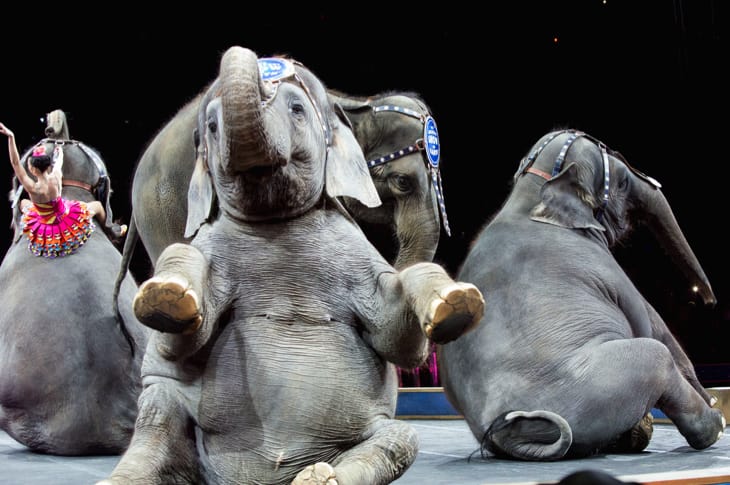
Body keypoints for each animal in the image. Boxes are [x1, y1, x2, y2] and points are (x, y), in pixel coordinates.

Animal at [99, 46, 484, 484]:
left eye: (298, 109)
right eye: (403, 182)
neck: (355, 102)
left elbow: (391, 337)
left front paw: (454, 304)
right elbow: (187, 328)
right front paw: (166, 297)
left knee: (400, 438)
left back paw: (319, 476)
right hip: (158, 209)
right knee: (160, 416)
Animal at [437, 129, 725, 461]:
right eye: (622, 183)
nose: (709, 302)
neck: (532, 192)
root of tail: (501, 430)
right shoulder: (608, 269)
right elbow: (653, 327)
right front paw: (714, 406)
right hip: (606, 383)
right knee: (657, 354)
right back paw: (713, 427)